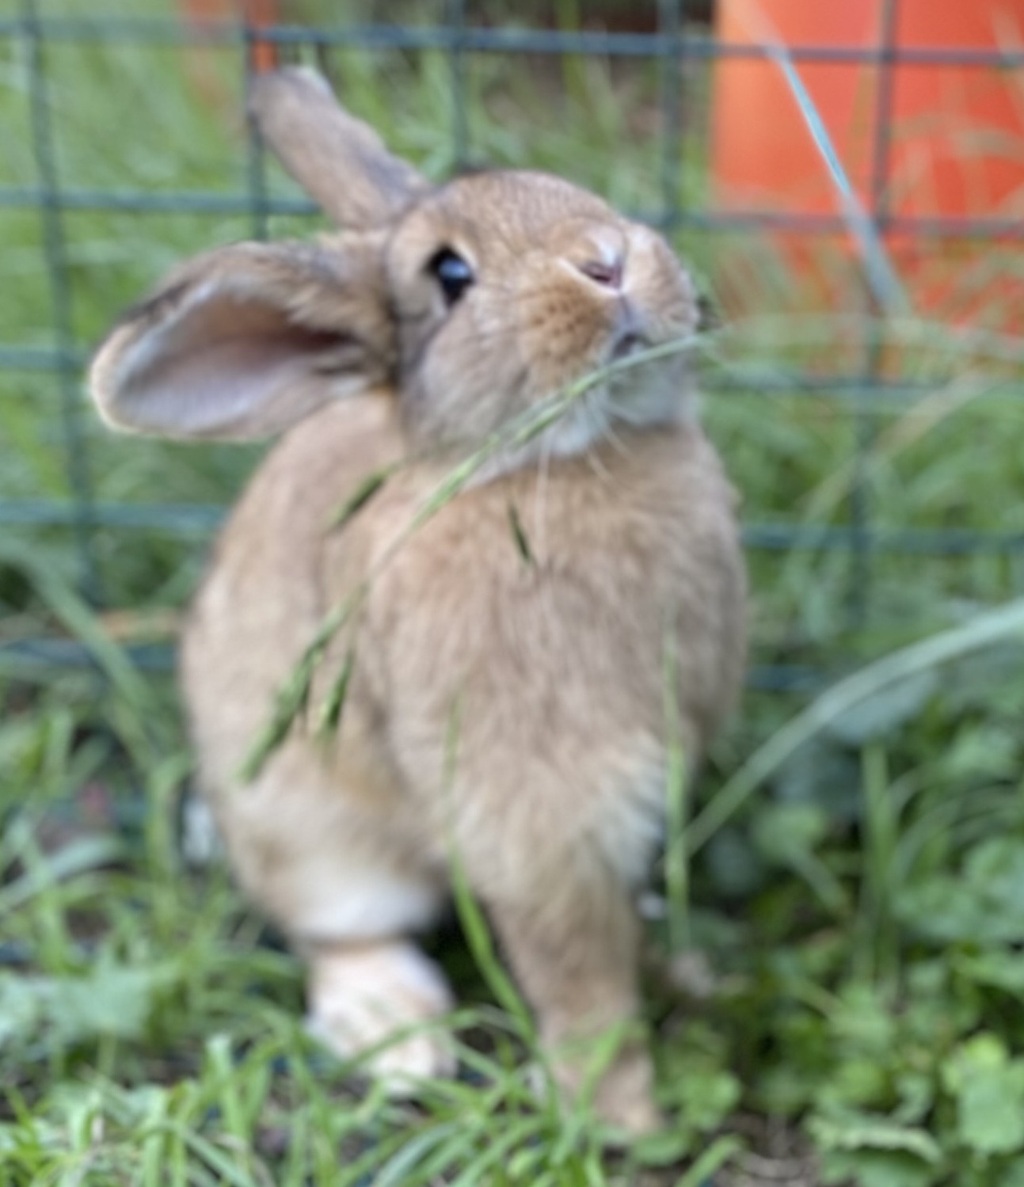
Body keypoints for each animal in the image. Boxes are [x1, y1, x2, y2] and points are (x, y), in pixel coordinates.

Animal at [88, 67, 746, 1134]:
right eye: (450, 275)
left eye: (560, 186)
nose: (606, 260)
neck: (547, 464)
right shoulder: (535, 815)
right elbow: (578, 975)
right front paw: (617, 1118)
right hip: (316, 838)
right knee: (331, 933)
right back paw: (395, 1032)